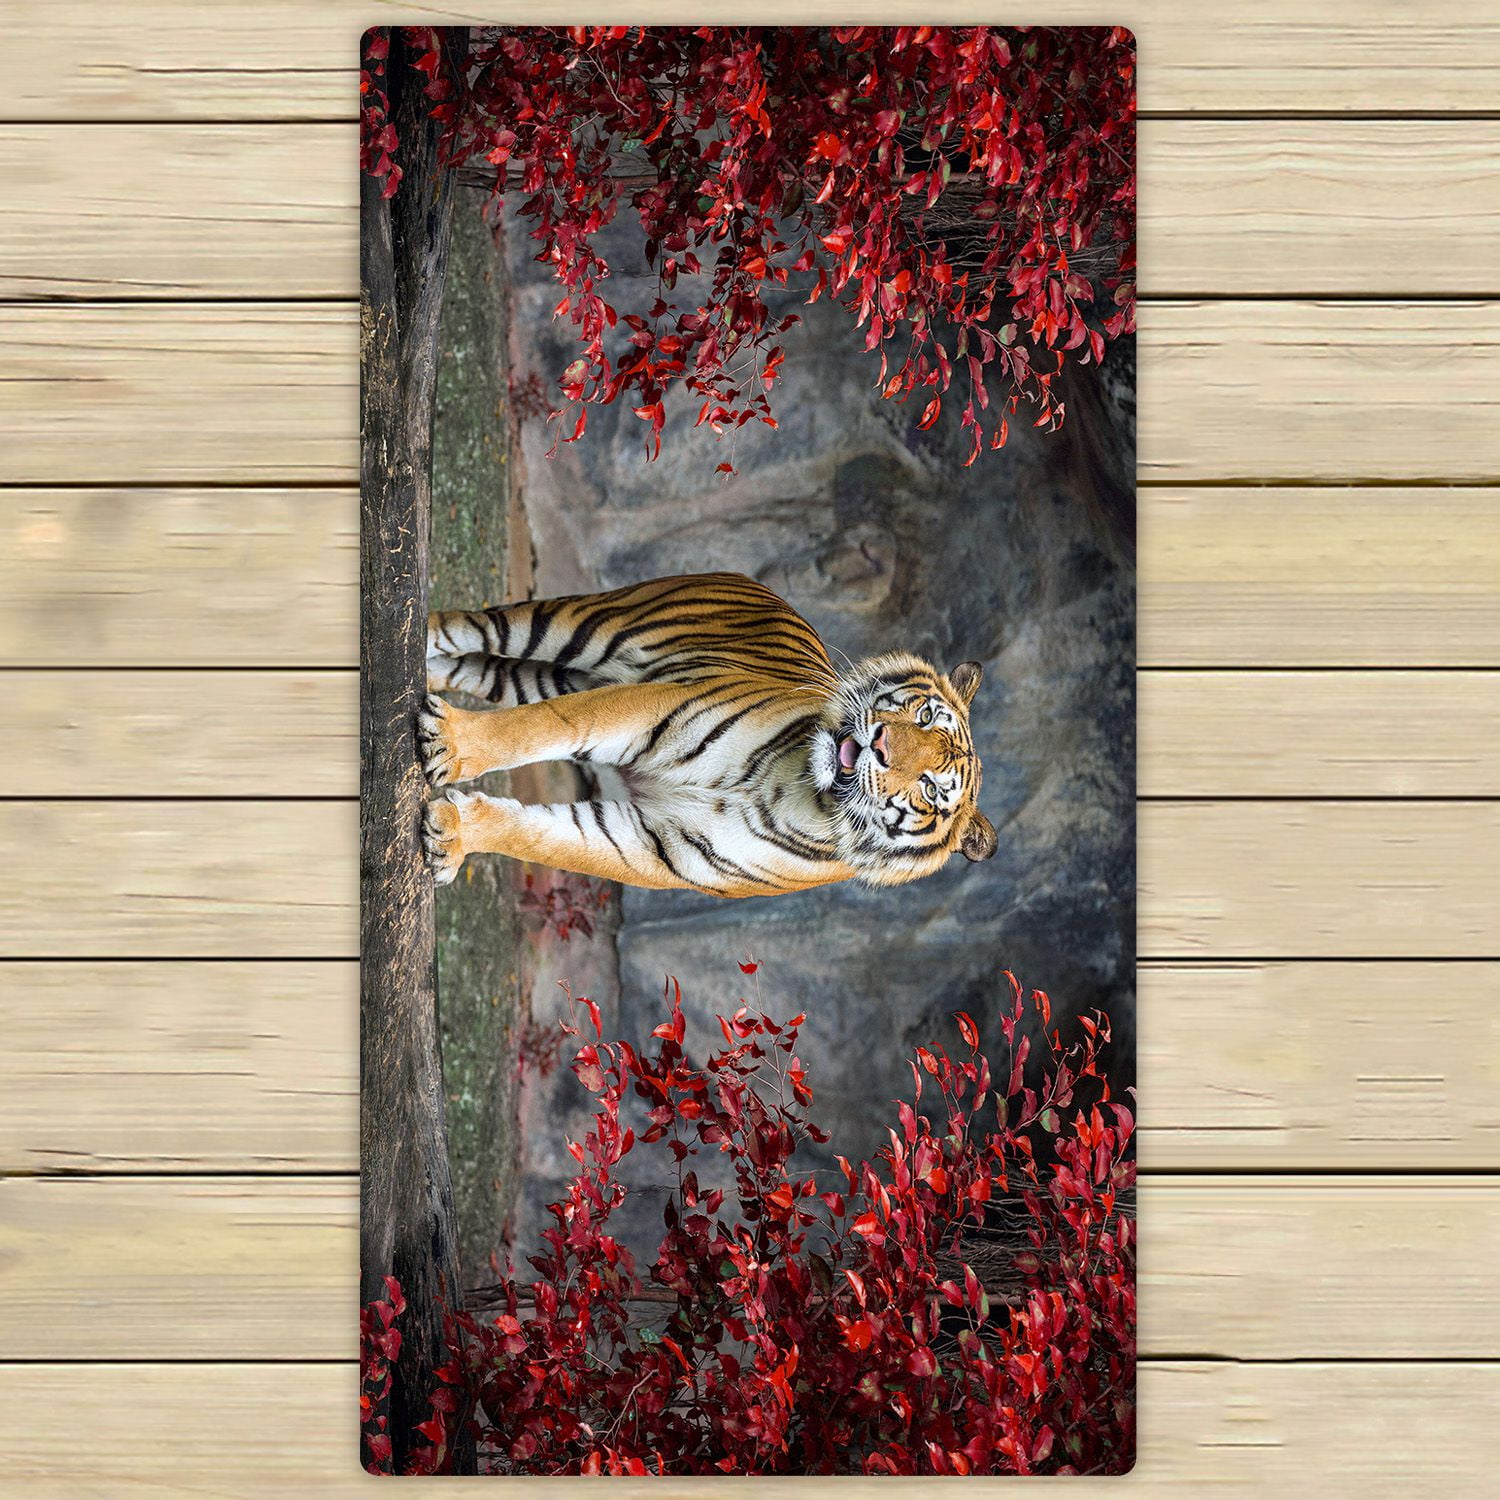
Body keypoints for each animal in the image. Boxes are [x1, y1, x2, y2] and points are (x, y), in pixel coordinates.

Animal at [419, 572, 997, 899]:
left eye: (930, 789)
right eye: (924, 716)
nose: (879, 743)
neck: (795, 792)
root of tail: (760, 583)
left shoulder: (649, 844)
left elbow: (542, 839)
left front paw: (452, 837)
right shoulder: (651, 709)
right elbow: (546, 726)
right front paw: (451, 743)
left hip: (547, 677)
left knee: (476, 668)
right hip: (572, 626)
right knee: (461, 626)